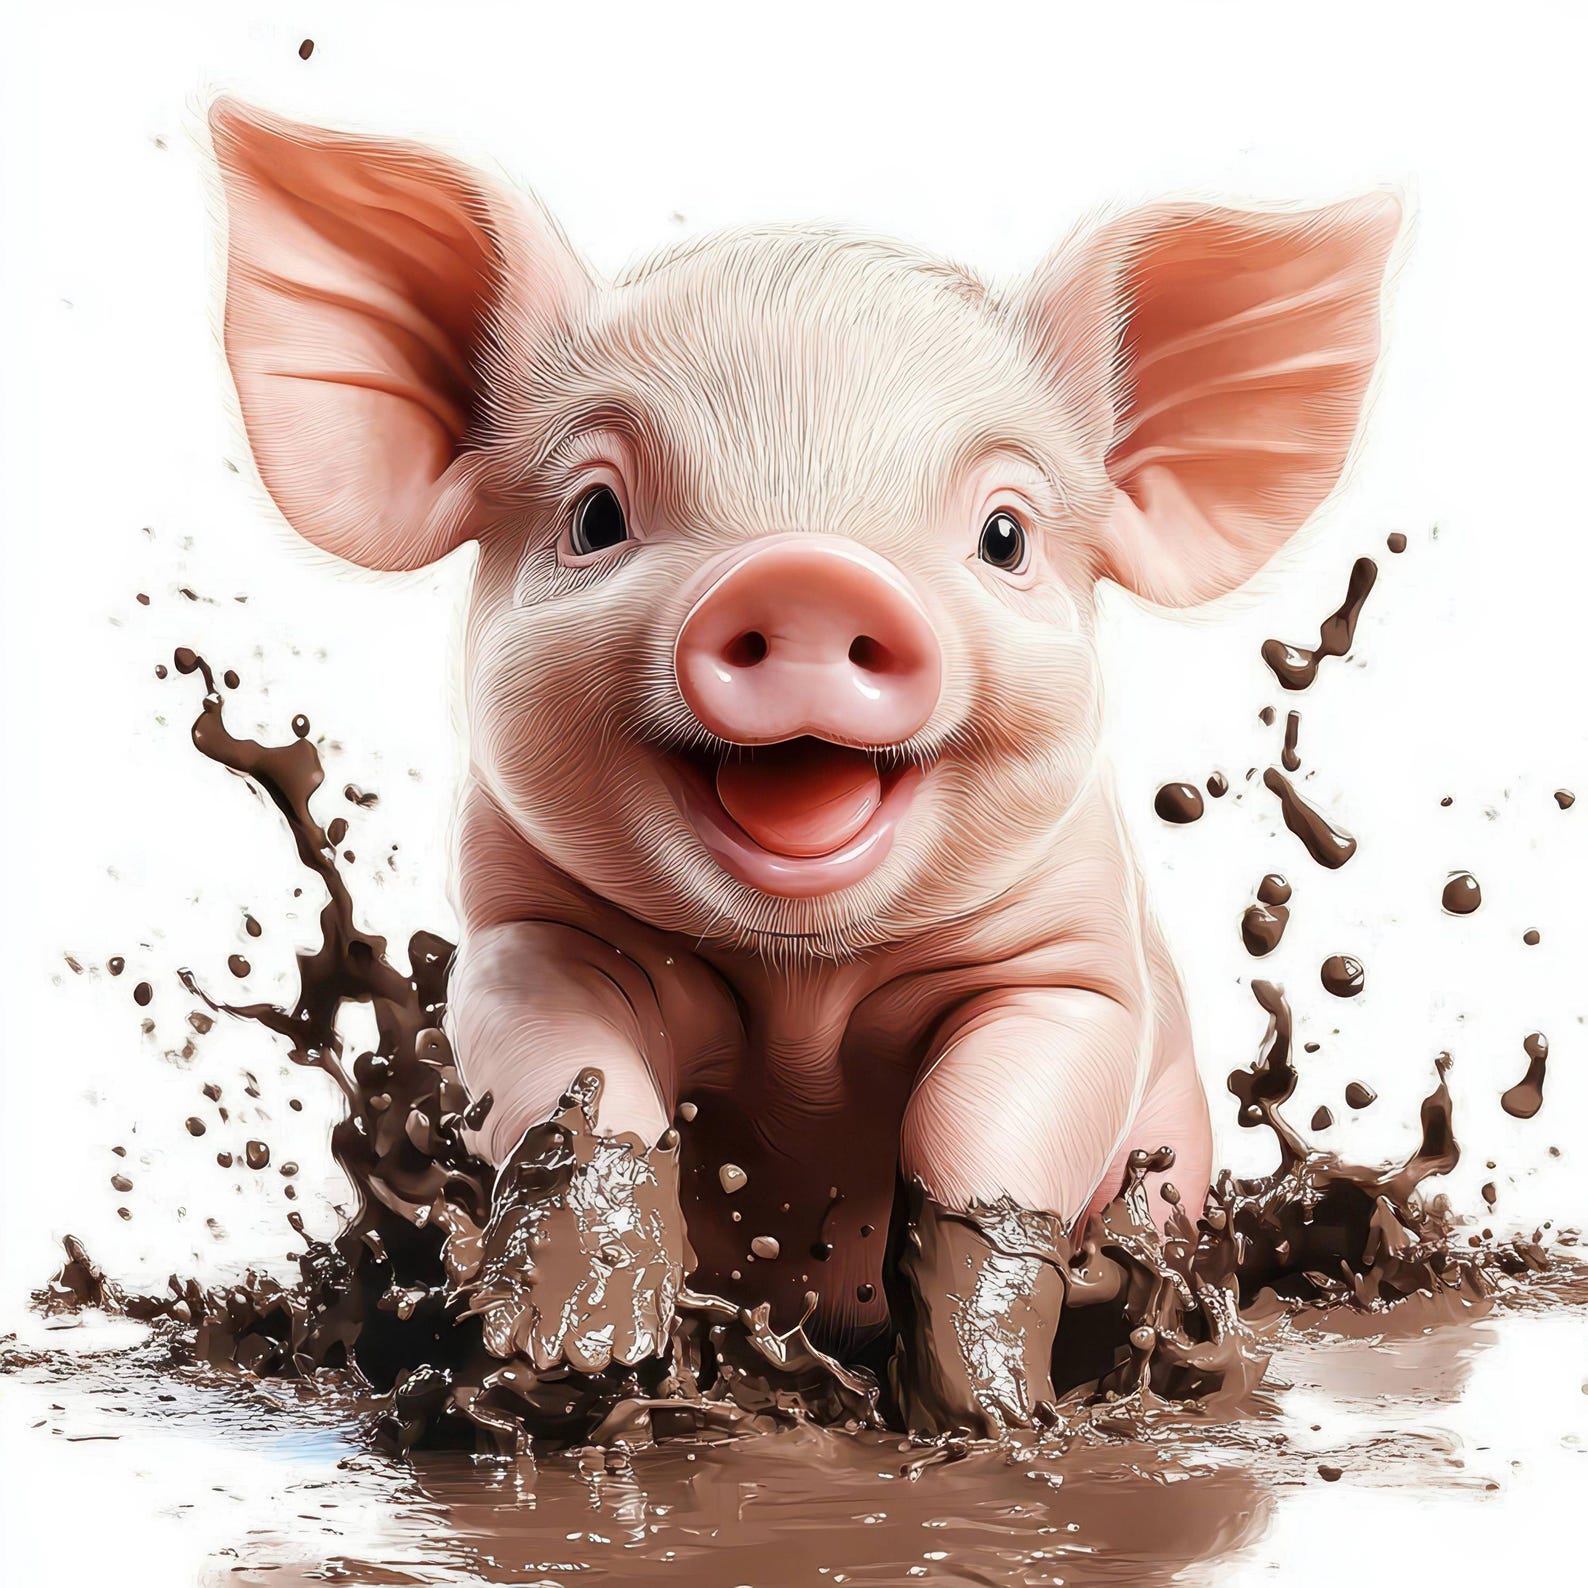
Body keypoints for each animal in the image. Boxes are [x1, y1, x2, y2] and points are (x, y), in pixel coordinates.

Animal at [209, 98, 1398, 1432]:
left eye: (1004, 535)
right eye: (594, 516)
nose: (808, 573)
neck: (804, 995)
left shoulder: (1072, 968)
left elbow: (984, 1132)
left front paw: (990, 1417)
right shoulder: (530, 933)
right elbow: (577, 1077)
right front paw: (568, 1357)